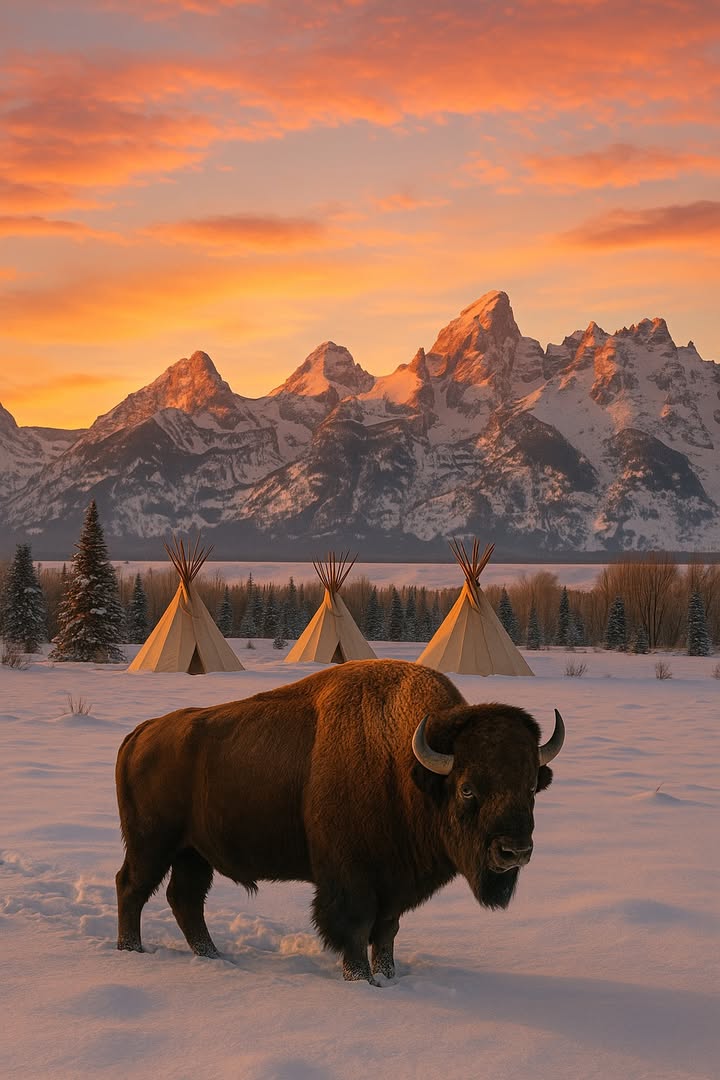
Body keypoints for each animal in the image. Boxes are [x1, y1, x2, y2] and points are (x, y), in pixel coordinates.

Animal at [115, 658, 564, 982]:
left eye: (530, 786)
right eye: (467, 788)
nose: (514, 851)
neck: (404, 767)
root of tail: (141, 733)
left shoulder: (393, 885)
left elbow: (386, 933)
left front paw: (388, 976)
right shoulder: (351, 880)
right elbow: (356, 929)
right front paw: (361, 979)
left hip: (193, 853)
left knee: (185, 900)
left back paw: (213, 957)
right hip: (152, 844)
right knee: (132, 888)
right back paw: (131, 950)